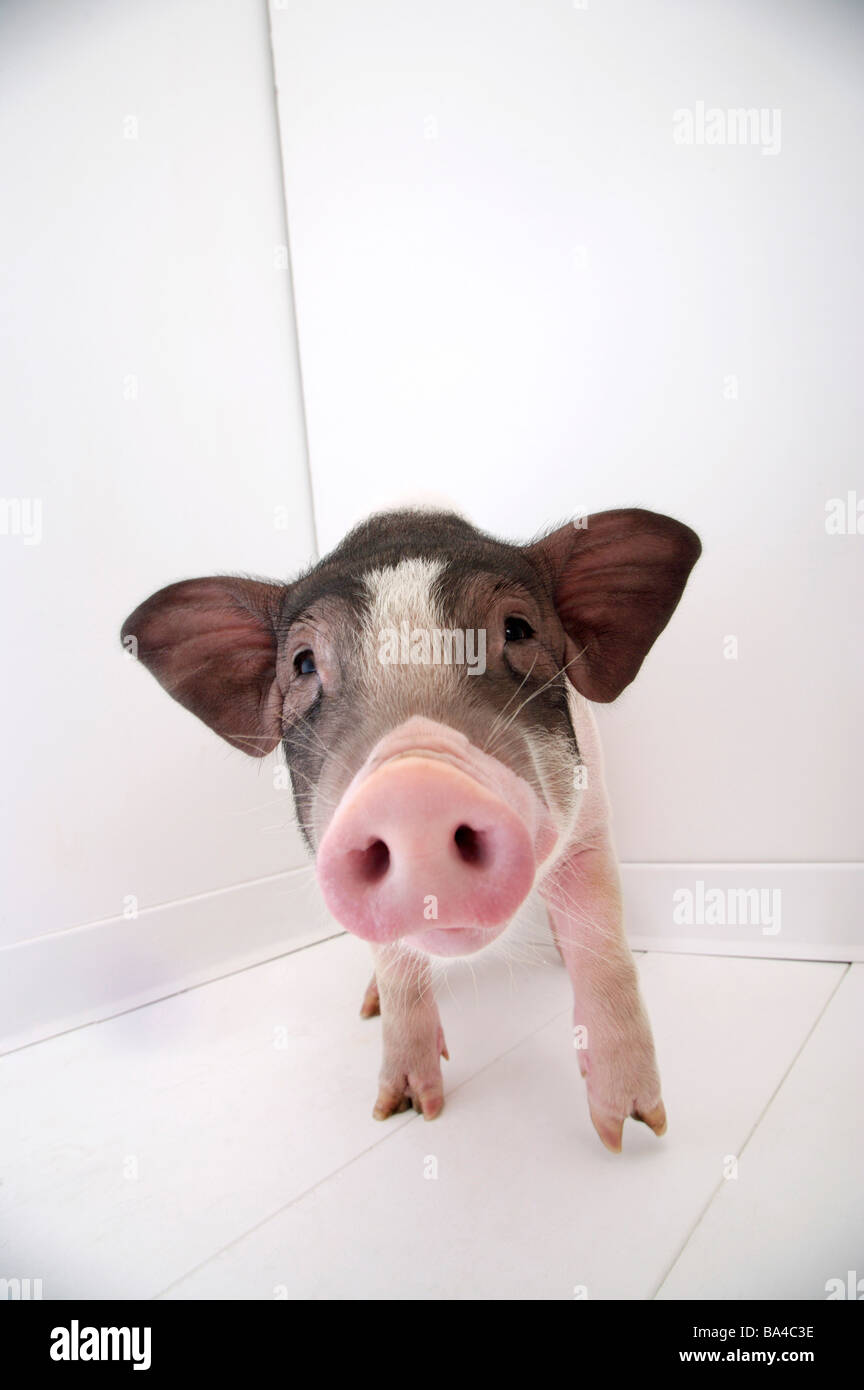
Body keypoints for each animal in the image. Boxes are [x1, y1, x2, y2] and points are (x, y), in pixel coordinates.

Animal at [121, 507, 700, 1151]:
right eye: (303, 663)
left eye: (518, 629)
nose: (415, 785)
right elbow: (399, 974)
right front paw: (404, 1111)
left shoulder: (592, 820)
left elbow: (603, 948)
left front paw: (635, 1131)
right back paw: (368, 1010)